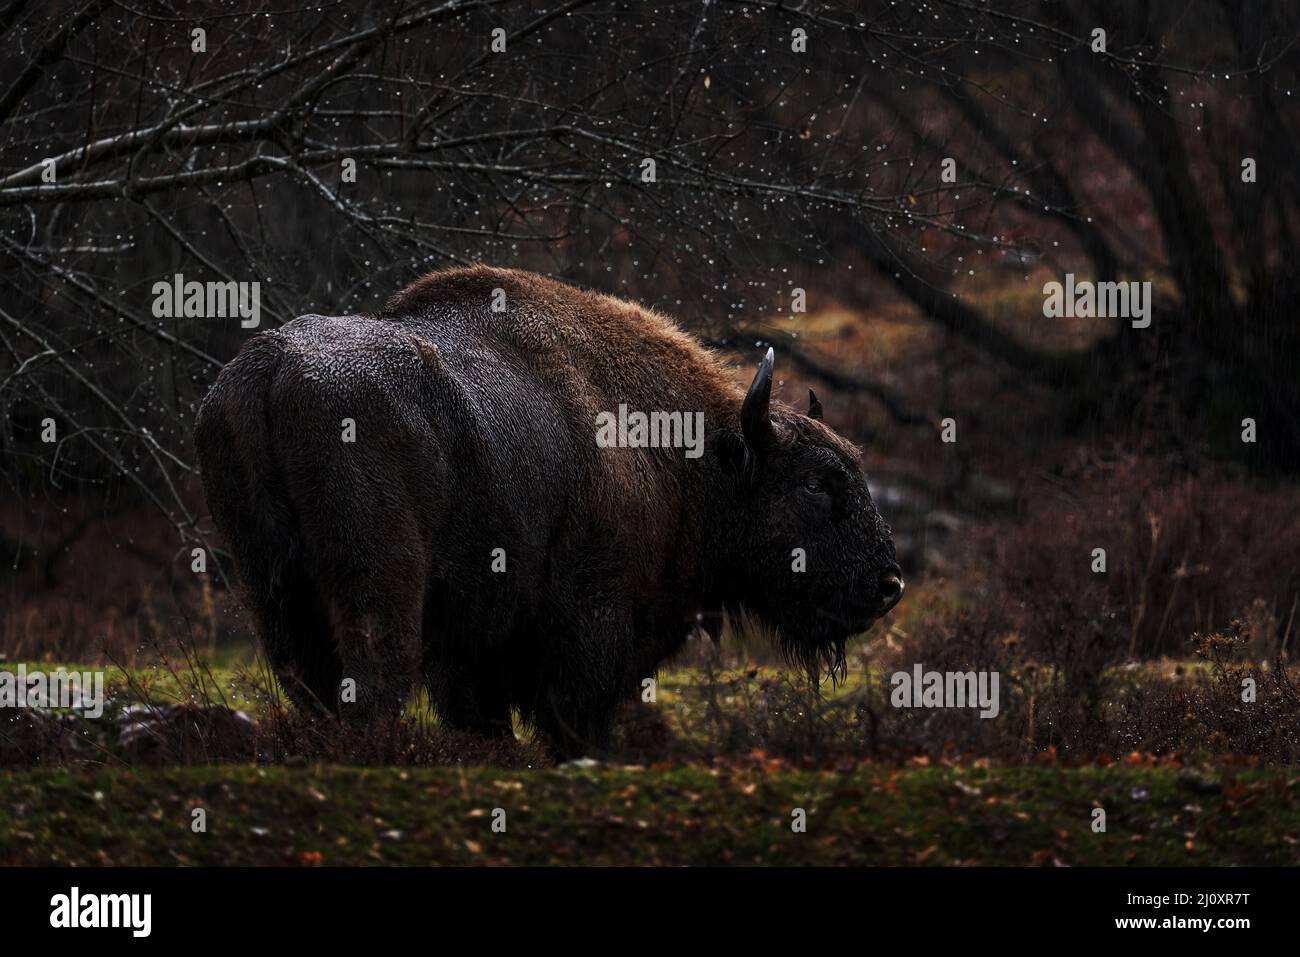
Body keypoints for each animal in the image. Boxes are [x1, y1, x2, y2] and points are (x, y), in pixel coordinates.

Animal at [195, 266, 902, 756]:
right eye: (816, 484)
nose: (889, 583)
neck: (689, 458)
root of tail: (272, 368)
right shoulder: (589, 626)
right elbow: (575, 720)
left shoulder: (473, 651)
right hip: (378, 584)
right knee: (373, 685)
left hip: (275, 589)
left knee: (310, 684)